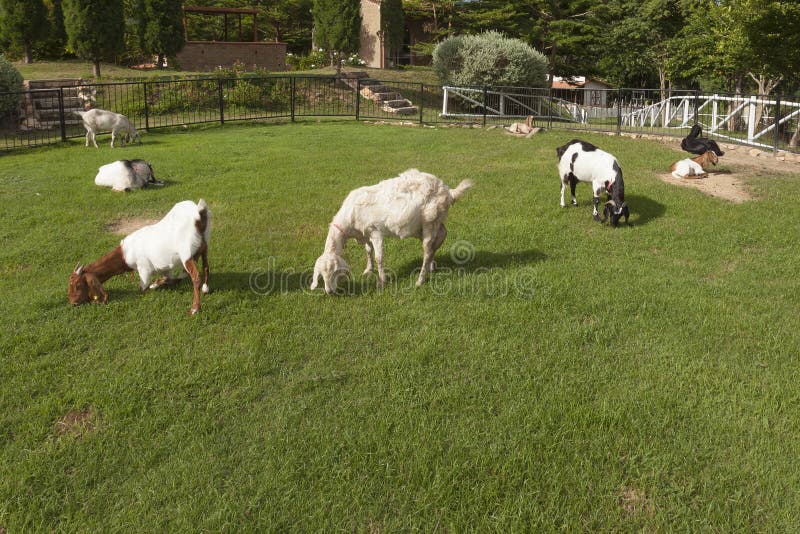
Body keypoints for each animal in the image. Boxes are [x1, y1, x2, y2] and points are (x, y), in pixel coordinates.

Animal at [69, 200, 211, 315]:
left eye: (78, 285)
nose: (72, 302)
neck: (125, 253)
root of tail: (198, 217)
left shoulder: (144, 268)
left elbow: (142, 288)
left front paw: (151, 287)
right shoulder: (165, 266)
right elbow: (168, 278)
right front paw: (157, 284)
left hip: (186, 253)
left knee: (195, 277)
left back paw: (195, 308)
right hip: (203, 249)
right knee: (205, 268)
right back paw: (205, 288)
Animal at [310, 169, 473, 294]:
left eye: (334, 272)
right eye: (321, 275)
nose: (329, 291)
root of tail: (449, 191)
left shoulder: (375, 231)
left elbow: (379, 257)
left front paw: (381, 282)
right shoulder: (365, 232)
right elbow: (368, 250)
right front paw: (368, 270)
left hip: (429, 221)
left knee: (427, 249)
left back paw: (420, 279)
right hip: (433, 221)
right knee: (441, 235)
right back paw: (431, 266)